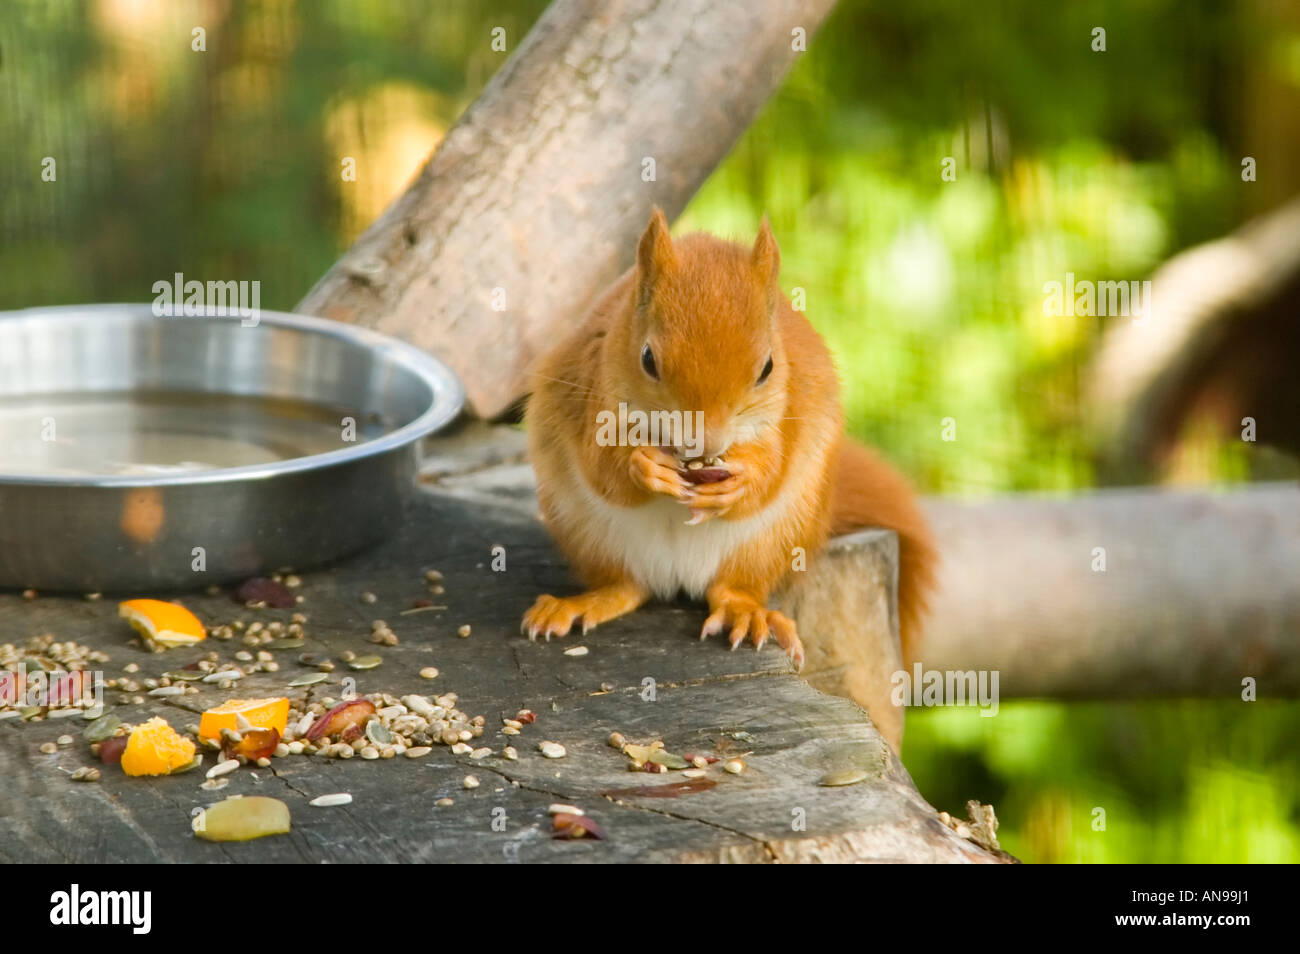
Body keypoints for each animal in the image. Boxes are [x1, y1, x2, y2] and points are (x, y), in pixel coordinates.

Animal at [522, 208, 937, 670]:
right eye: (647, 359)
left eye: (768, 368)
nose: (706, 444)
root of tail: (678, 576)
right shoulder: (592, 392)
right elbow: (601, 469)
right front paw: (642, 465)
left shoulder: (786, 416)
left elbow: (773, 469)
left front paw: (741, 482)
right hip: (584, 529)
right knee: (625, 586)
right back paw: (579, 604)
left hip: (776, 538)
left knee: (731, 589)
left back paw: (748, 612)